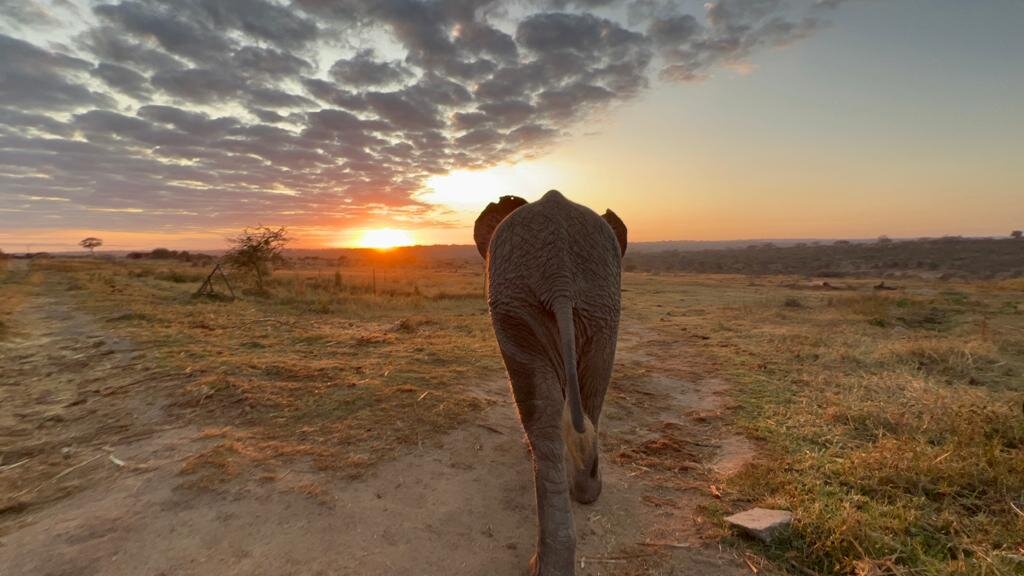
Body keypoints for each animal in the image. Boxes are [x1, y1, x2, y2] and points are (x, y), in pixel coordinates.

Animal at [474, 190, 627, 576]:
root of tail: (560, 277)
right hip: (600, 306)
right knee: (589, 392)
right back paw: (587, 494)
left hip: (519, 304)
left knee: (541, 409)